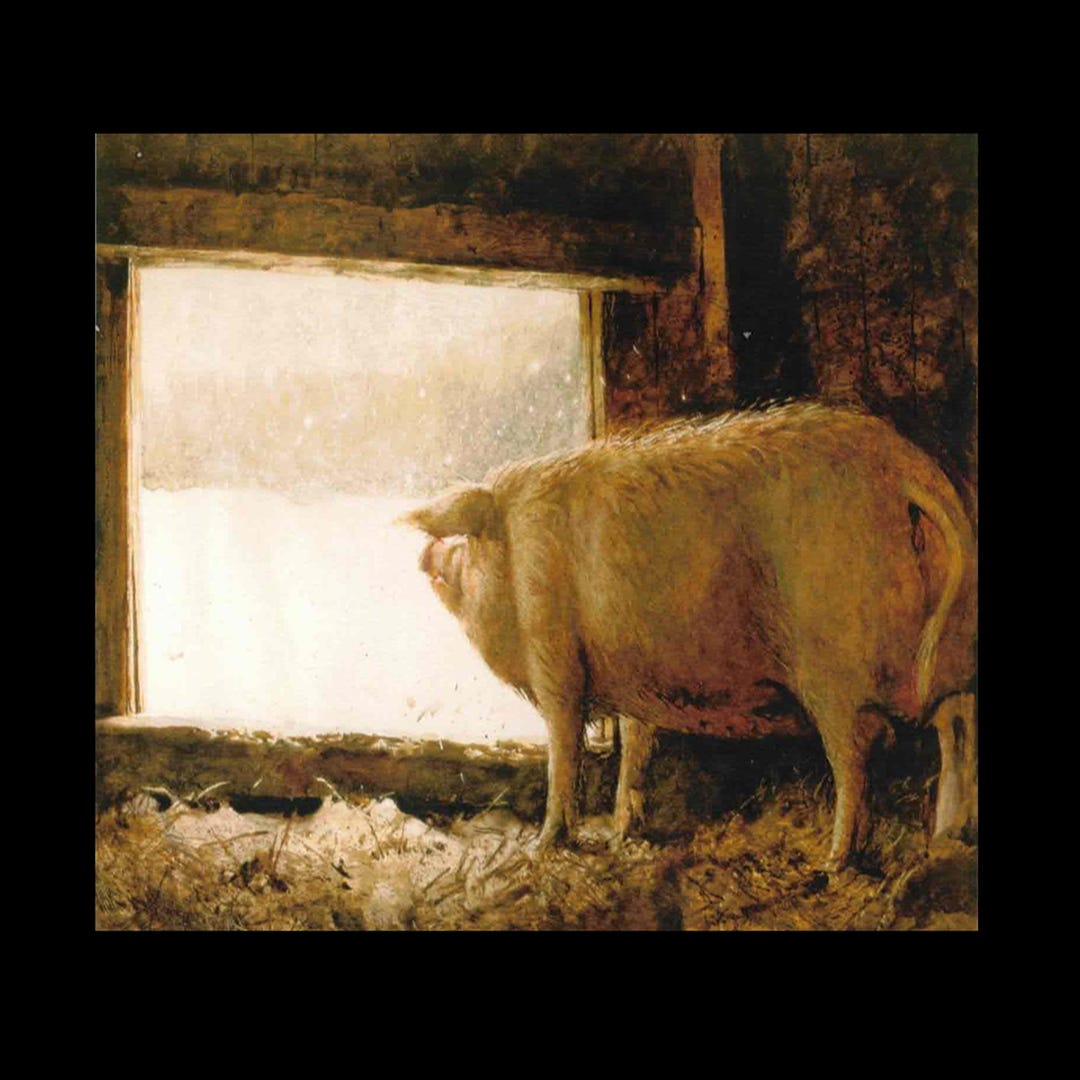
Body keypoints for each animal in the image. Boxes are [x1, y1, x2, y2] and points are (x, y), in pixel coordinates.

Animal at [402, 402, 976, 872]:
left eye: (463, 538)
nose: (425, 554)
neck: (515, 552)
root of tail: (904, 469)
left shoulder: (554, 657)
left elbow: (564, 754)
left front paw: (544, 848)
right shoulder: (630, 680)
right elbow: (635, 750)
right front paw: (622, 836)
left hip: (832, 664)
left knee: (860, 752)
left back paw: (834, 862)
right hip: (946, 647)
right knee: (956, 720)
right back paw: (947, 839)